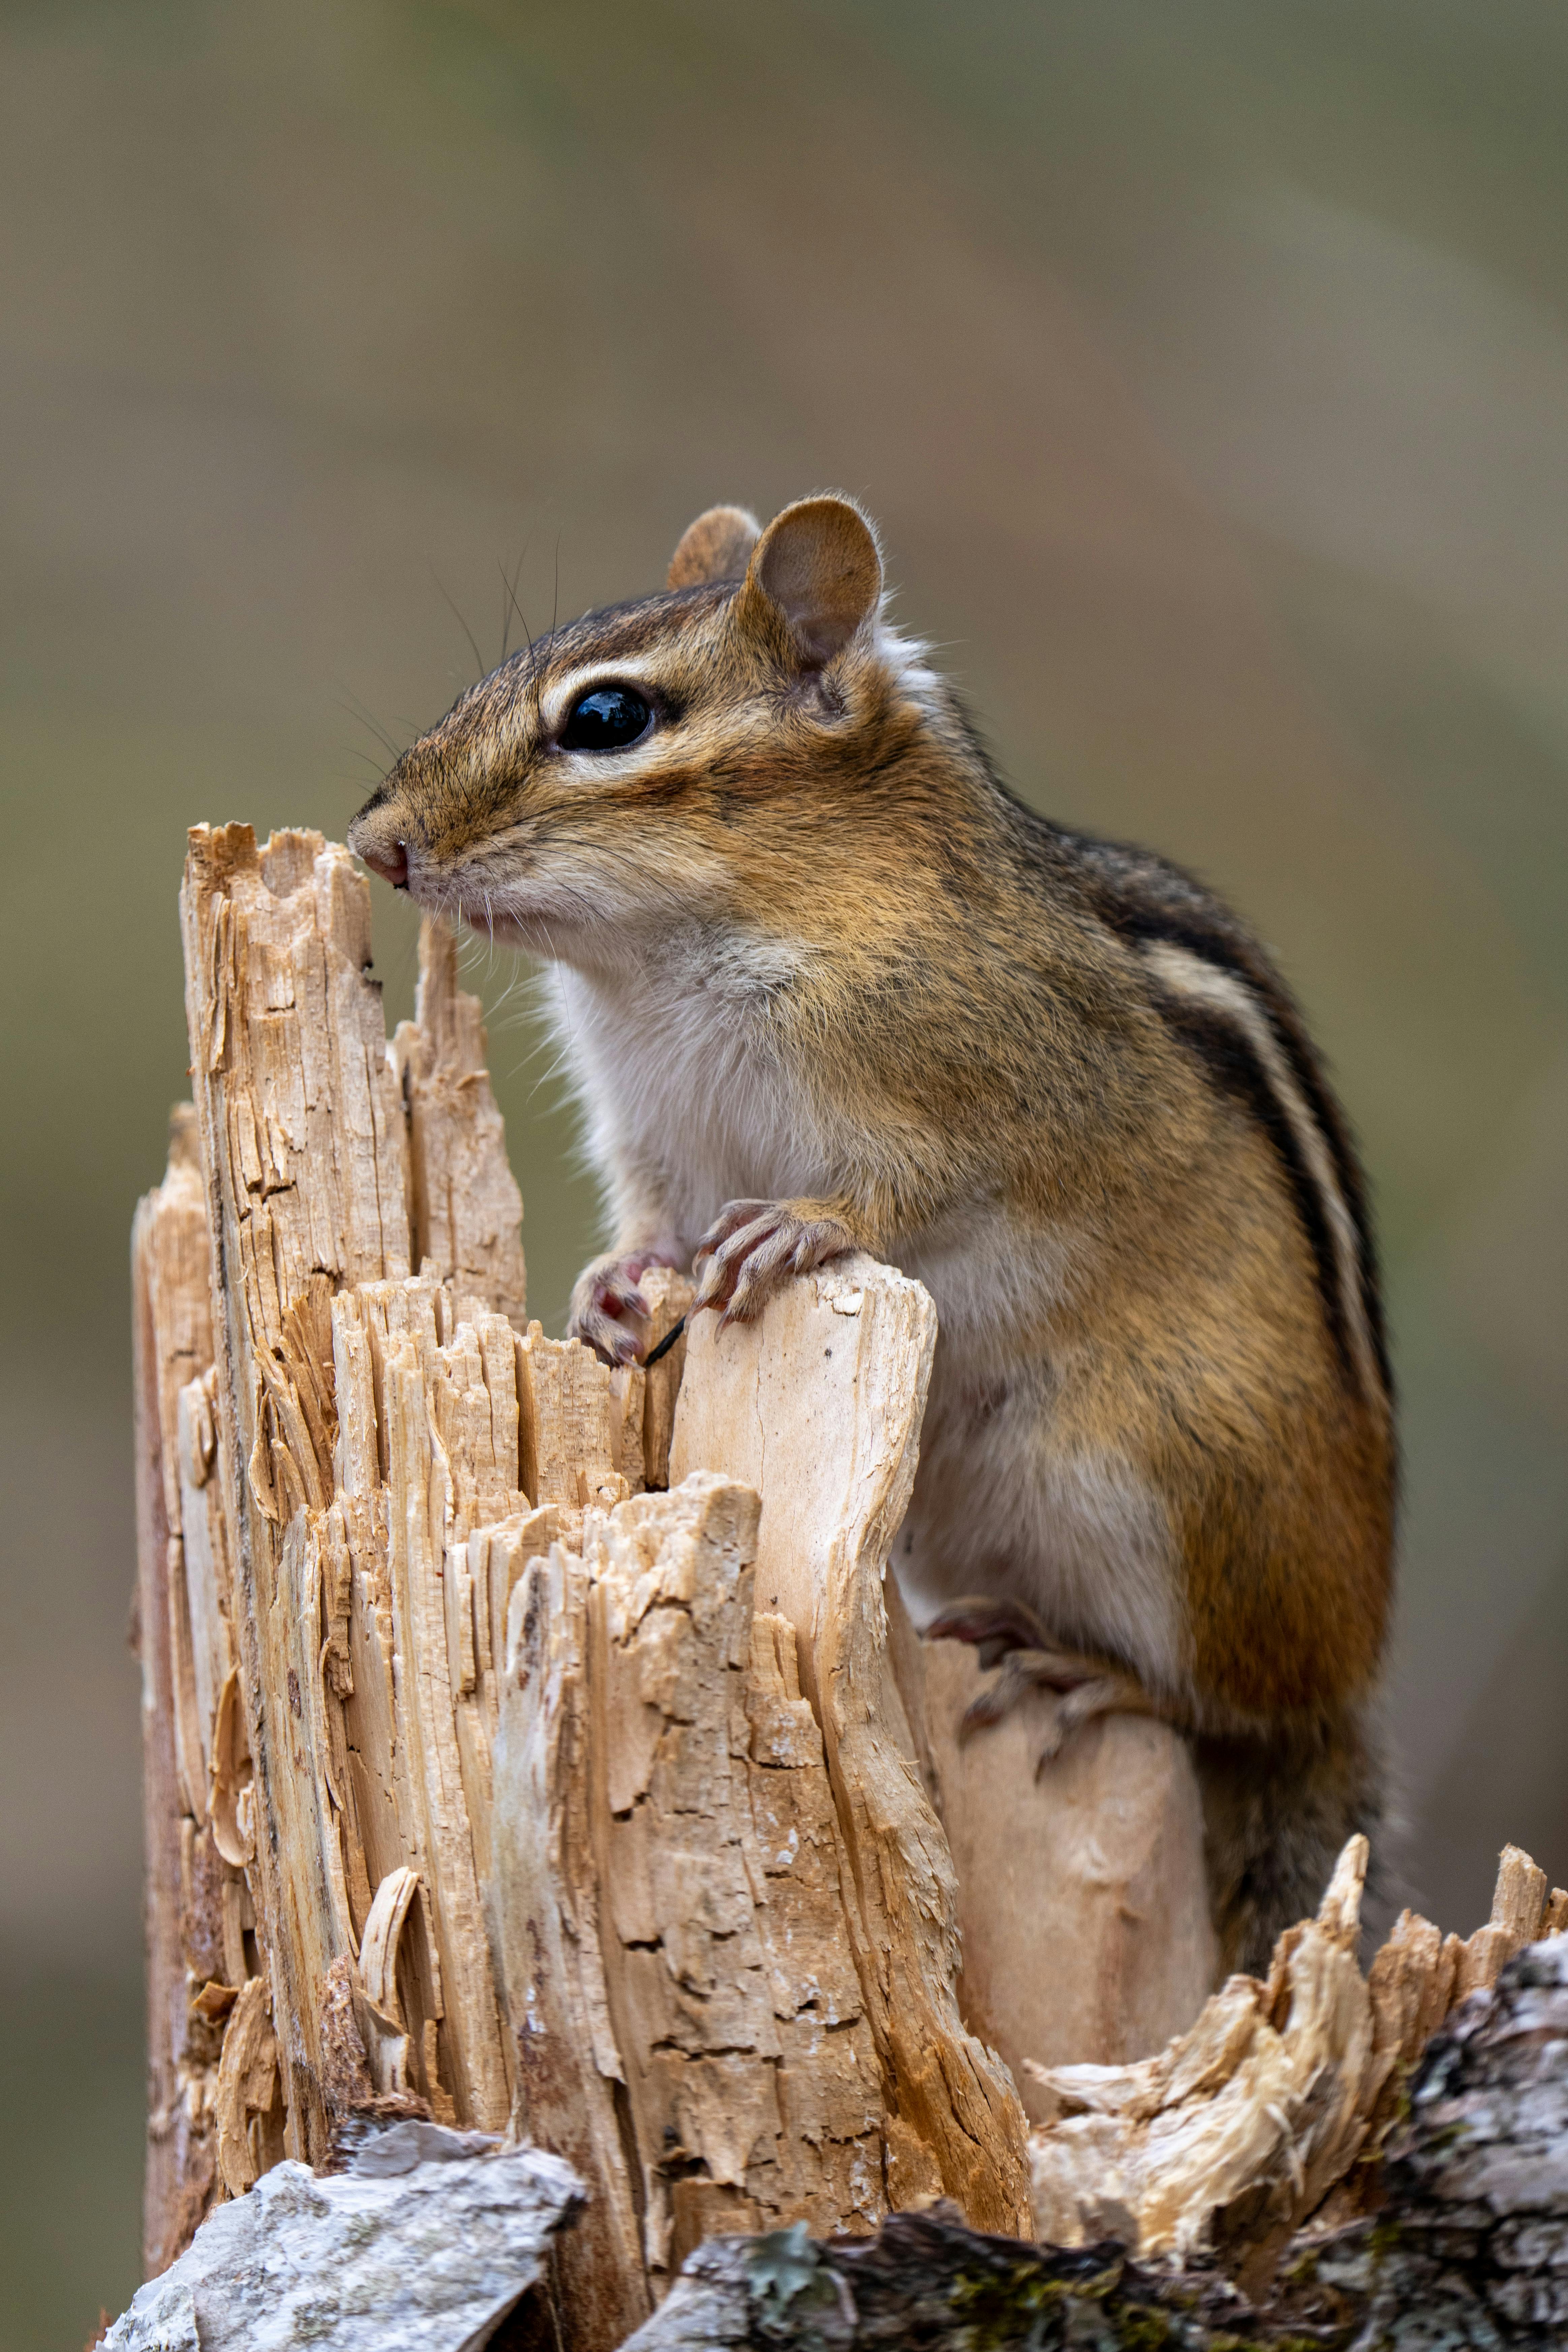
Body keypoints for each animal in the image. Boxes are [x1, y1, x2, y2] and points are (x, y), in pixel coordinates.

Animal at [349, 494, 1395, 1973]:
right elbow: (650, 1215)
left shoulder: (998, 1087)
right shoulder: (652, 1134)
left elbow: (914, 1187)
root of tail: (1344, 1681)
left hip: (1164, 1489)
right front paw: (615, 1286)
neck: (665, 963)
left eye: (606, 716)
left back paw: (1086, 1666)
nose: (373, 841)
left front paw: (792, 1229)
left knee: (1218, 1703)